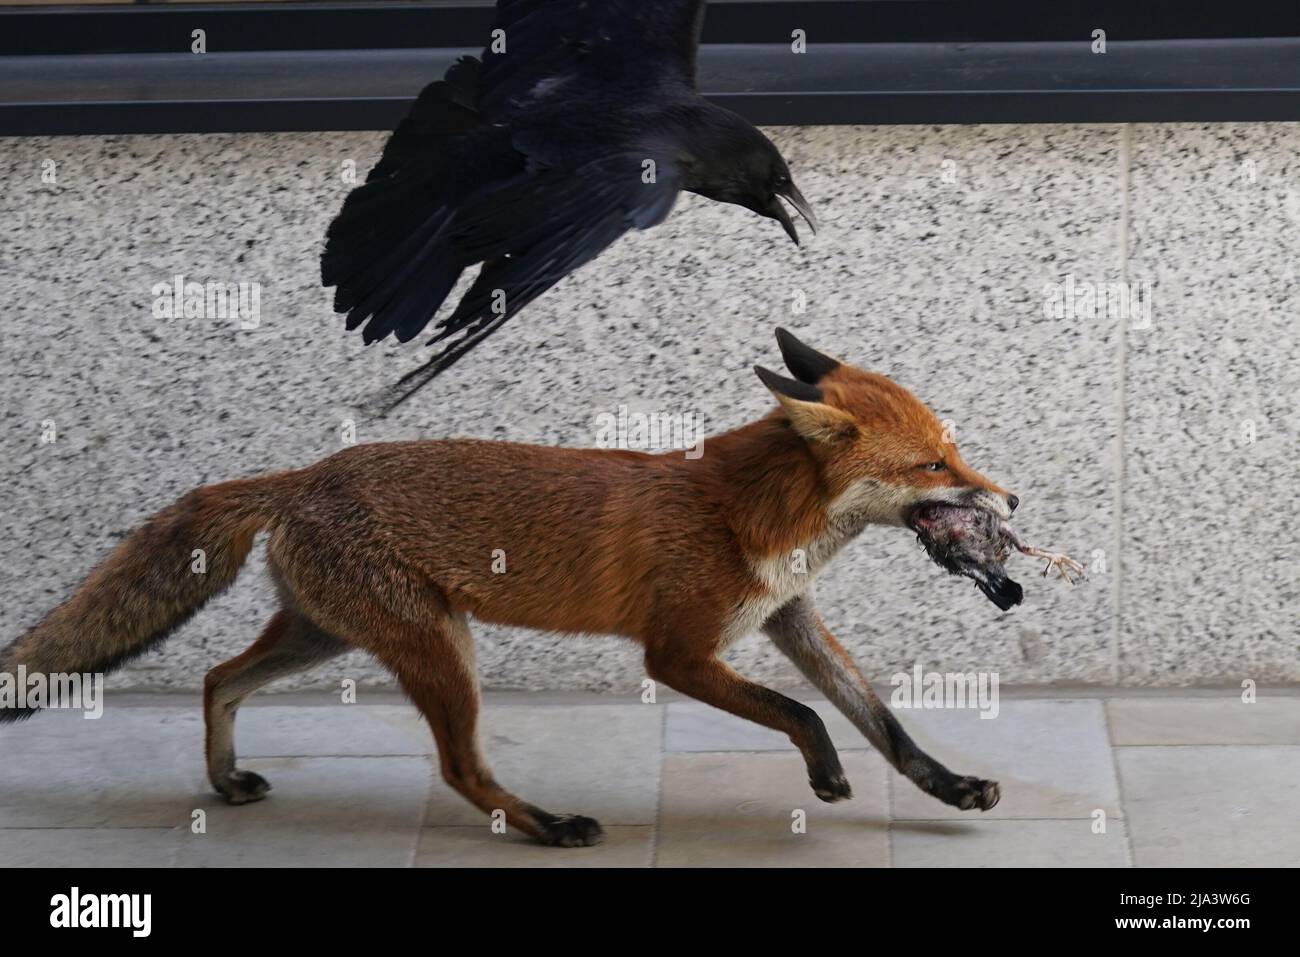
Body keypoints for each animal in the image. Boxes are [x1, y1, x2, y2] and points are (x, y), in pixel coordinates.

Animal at [0, 328, 1019, 847]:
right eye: (934, 464)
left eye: (955, 450)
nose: (1010, 498)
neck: (755, 512)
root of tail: (302, 475)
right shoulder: (679, 653)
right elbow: (803, 714)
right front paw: (826, 774)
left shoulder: (788, 619)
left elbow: (880, 720)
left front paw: (948, 787)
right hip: (438, 651)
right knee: (459, 768)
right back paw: (545, 824)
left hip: (326, 633)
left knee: (217, 678)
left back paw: (222, 776)